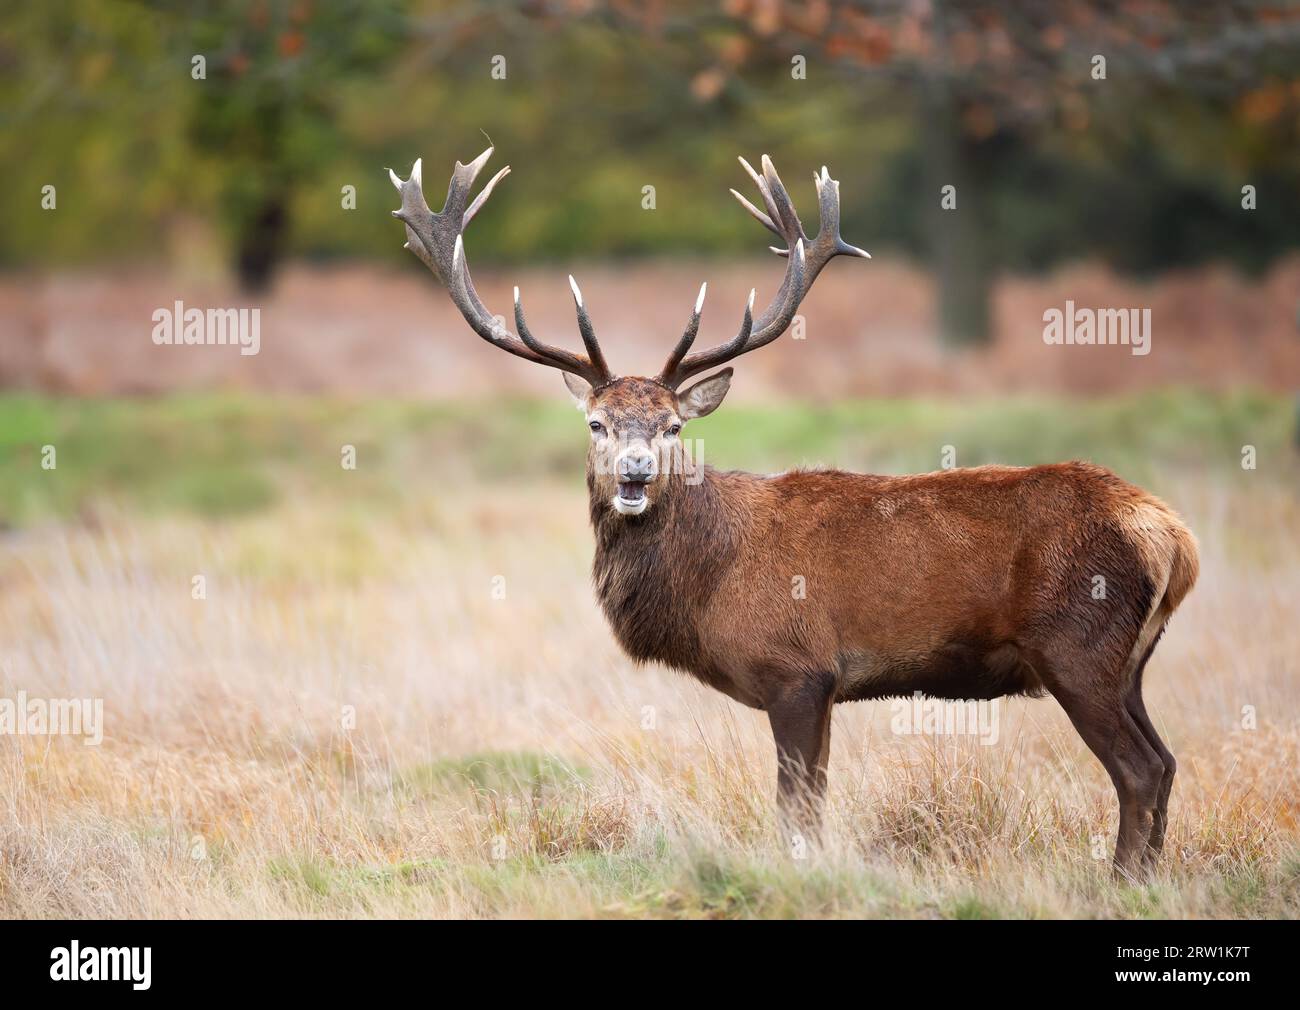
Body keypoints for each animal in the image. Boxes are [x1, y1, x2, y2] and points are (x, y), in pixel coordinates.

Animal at [388, 144, 1199, 879]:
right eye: (597, 423)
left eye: (673, 427)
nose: (635, 473)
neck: (709, 582)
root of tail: (1172, 537)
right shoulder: (828, 687)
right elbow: (812, 803)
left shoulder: (796, 669)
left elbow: (797, 811)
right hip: (1129, 660)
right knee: (1165, 761)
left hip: (1077, 646)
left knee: (1138, 769)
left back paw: (1121, 882)